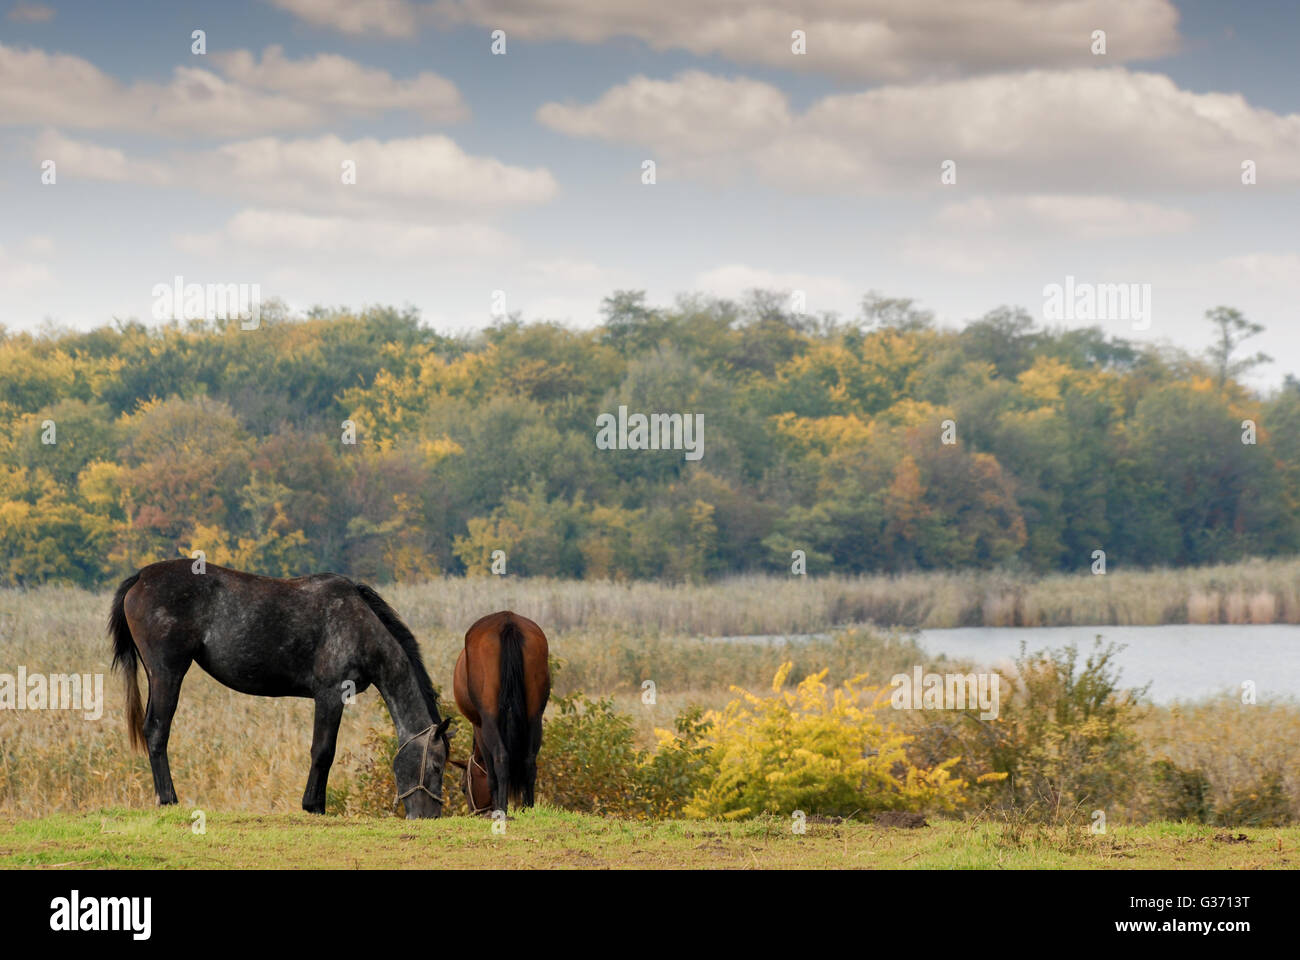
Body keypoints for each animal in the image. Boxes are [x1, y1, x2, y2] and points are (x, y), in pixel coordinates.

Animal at [108, 558, 453, 818]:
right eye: (436, 767)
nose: (428, 817)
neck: (359, 625)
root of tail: (141, 577)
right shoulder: (330, 696)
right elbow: (322, 751)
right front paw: (313, 806)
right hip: (167, 673)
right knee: (157, 730)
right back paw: (168, 798)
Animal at [452, 611, 550, 814]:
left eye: (463, 787)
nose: (473, 812)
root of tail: (508, 621)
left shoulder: (479, 726)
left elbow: (491, 775)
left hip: (489, 721)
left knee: (501, 758)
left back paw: (502, 809)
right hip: (534, 717)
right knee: (529, 762)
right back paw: (528, 808)